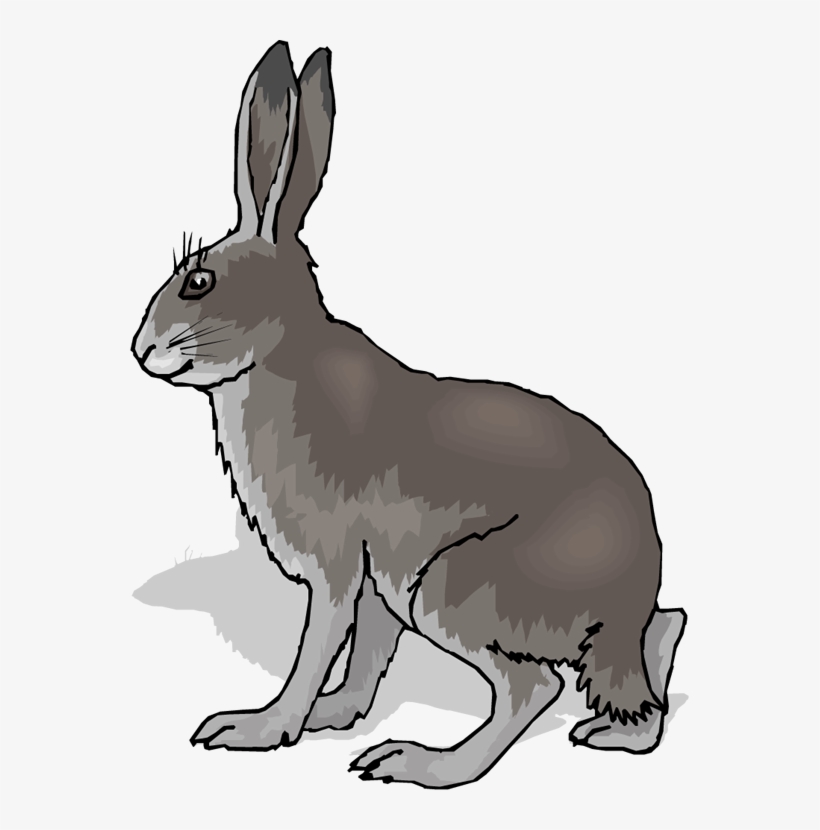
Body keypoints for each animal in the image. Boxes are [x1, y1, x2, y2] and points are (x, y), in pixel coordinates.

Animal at [132, 41, 687, 788]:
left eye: (198, 281)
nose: (140, 349)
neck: (281, 356)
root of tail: (626, 594)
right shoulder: (374, 586)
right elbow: (364, 658)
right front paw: (330, 716)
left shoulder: (338, 568)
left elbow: (314, 650)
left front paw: (260, 729)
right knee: (663, 635)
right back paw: (617, 734)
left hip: (451, 588)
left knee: (532, 687)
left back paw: (419, 763)